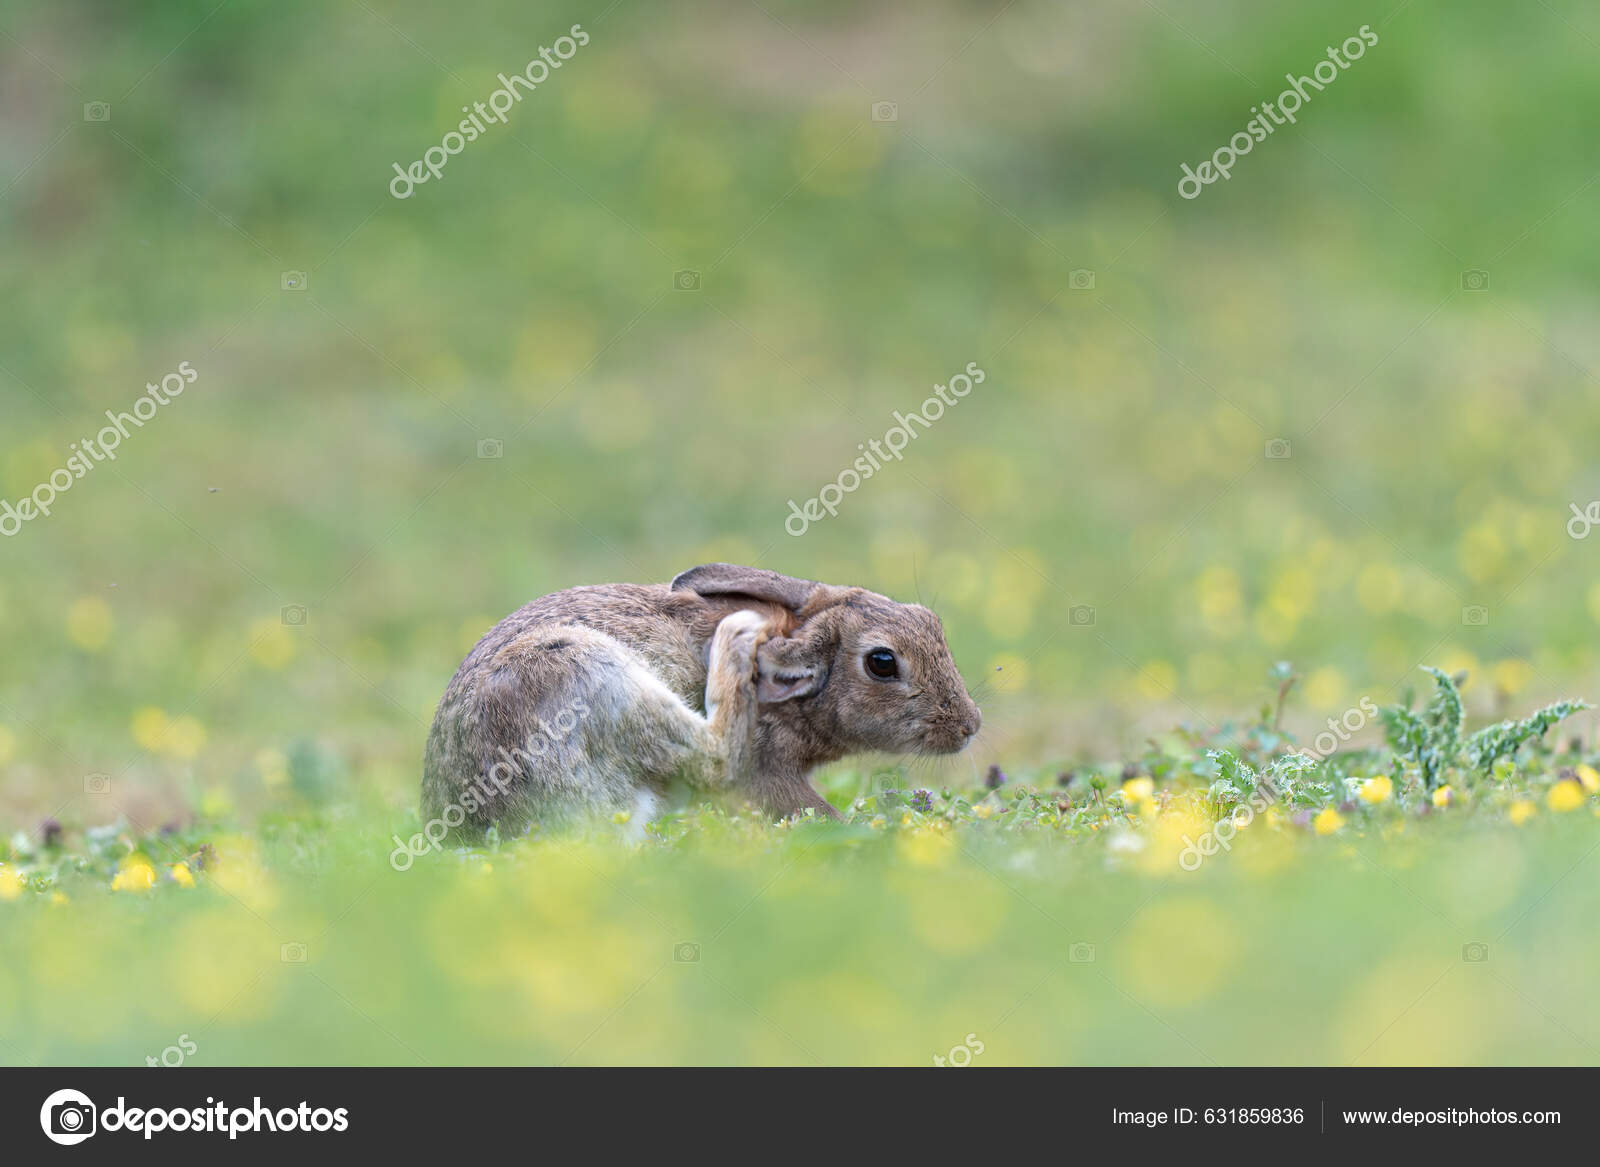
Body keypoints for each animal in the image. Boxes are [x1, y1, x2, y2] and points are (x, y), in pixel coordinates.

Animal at [421, 563, 982, 837]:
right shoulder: (765, 772)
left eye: (930, 621)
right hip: (576, 670)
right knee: (712, 759)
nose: (968, 726)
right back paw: (736, 636)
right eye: (882, 662)